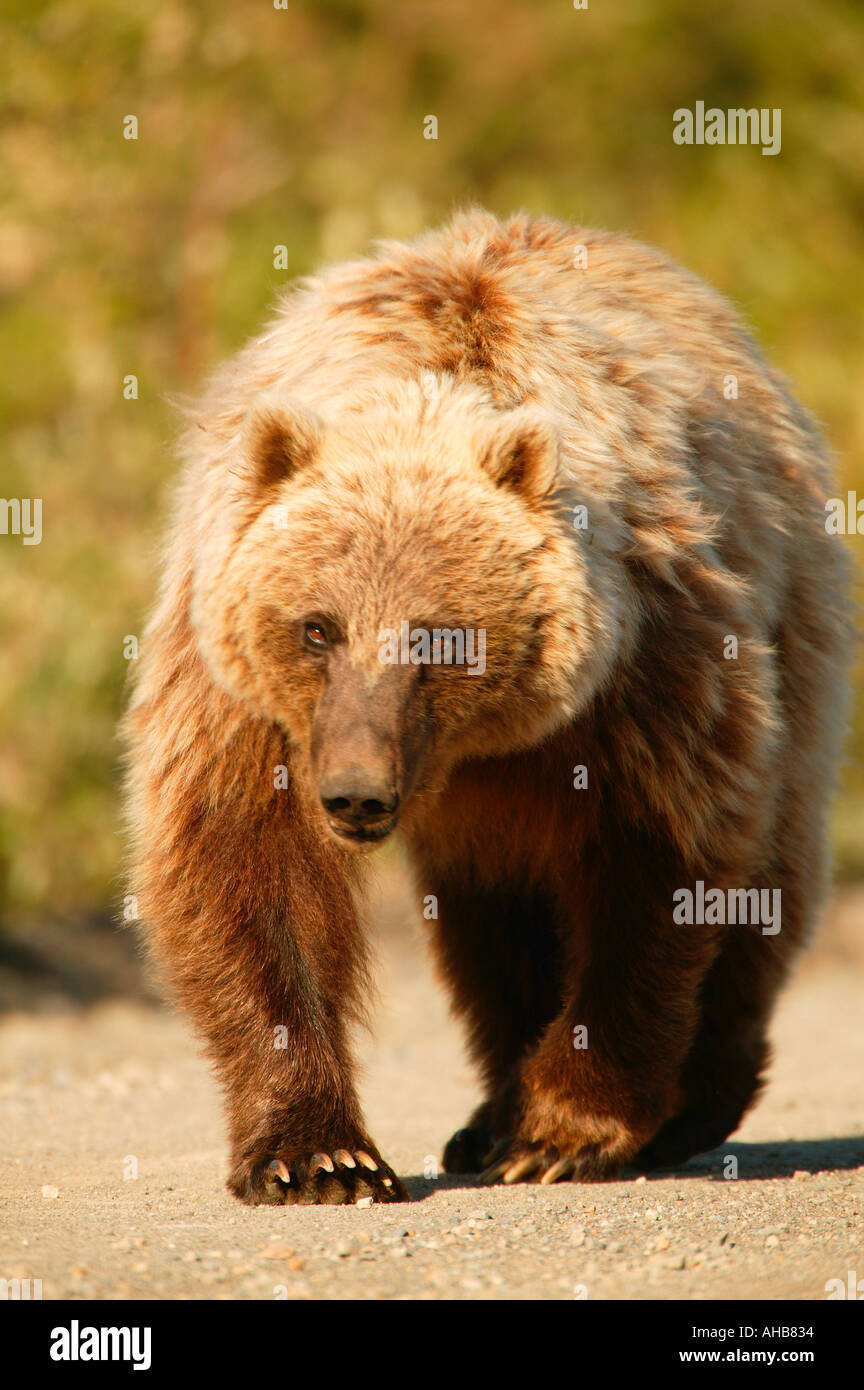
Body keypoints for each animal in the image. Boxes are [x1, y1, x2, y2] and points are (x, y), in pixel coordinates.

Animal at [122, 208, 853, 1205]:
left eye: (439, 639)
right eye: (317, 627)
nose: (356, 793)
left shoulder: (646, 666)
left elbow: (655, 868)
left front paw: (562, 1133)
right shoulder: (238, 689)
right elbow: (244, 859)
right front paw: (320, 1155)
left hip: (793, 627)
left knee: (767, 872)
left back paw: (687, 1101)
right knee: (491, 923)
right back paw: (486, 1118)